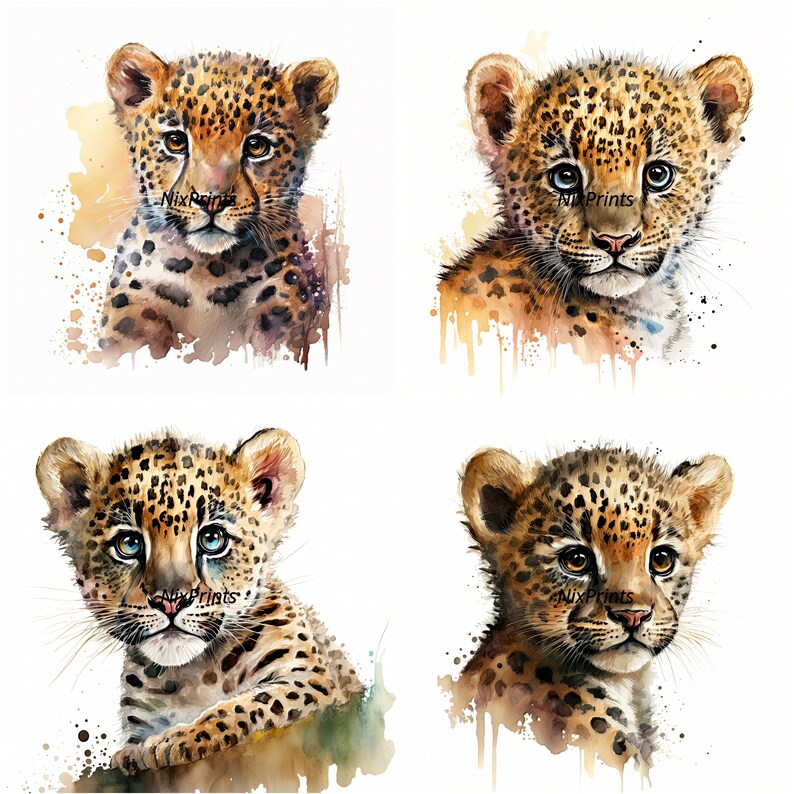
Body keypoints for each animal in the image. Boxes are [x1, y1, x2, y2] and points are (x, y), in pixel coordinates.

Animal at [36, 428, 362, 775]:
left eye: (212, 539)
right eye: (129, 544)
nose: (170, 600)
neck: (190, 675)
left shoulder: (311, 681)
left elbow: (246, 704)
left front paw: (173, 741)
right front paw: (132, 753)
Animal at [91, 44, 339, 366]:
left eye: (257, 146)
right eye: (175, 141)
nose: (212, 200)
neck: (207, 272)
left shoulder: (280, 305)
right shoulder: (136, 303)